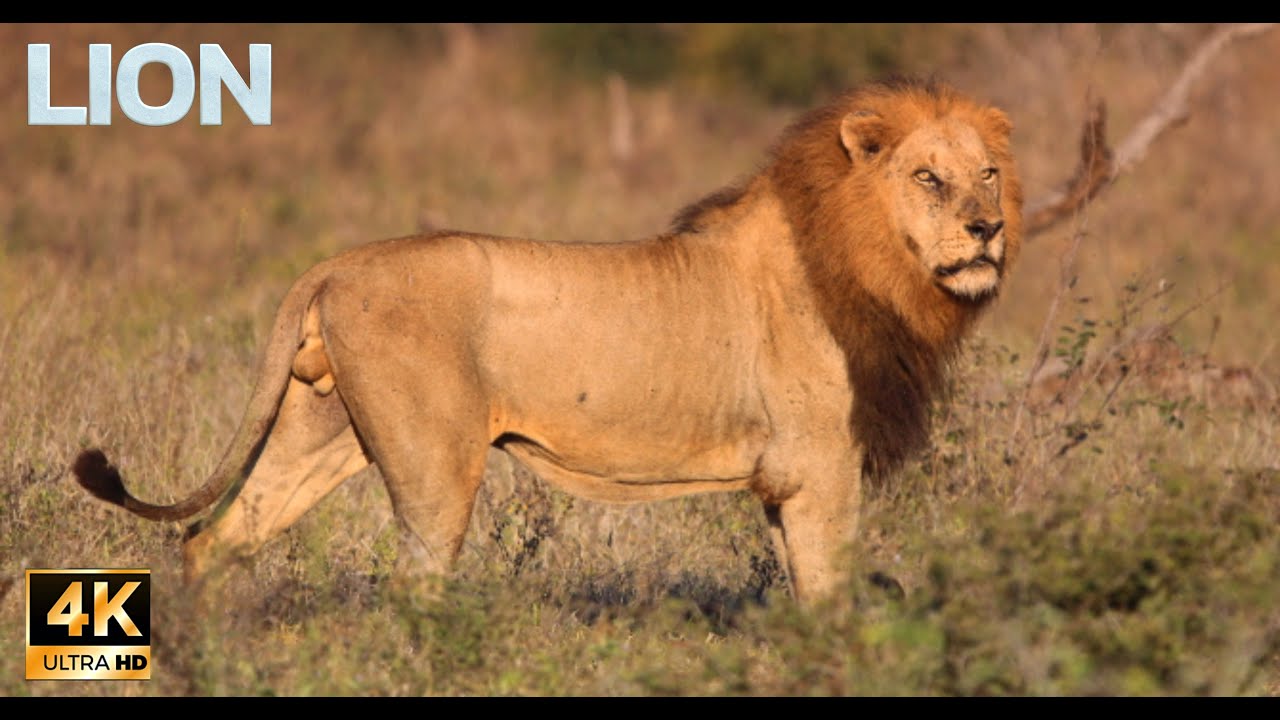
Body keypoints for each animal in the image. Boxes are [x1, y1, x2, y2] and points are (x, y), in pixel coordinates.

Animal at [73, 78, 1022, 604]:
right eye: (927, 178)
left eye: (988, 174)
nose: (989, 229)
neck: (877, 267)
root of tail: (334, 264)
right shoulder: (820, 469)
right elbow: (831, 603)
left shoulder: (788, 481)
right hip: (436, 464)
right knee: (414, 585)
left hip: (318, 432)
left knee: (211, 543)